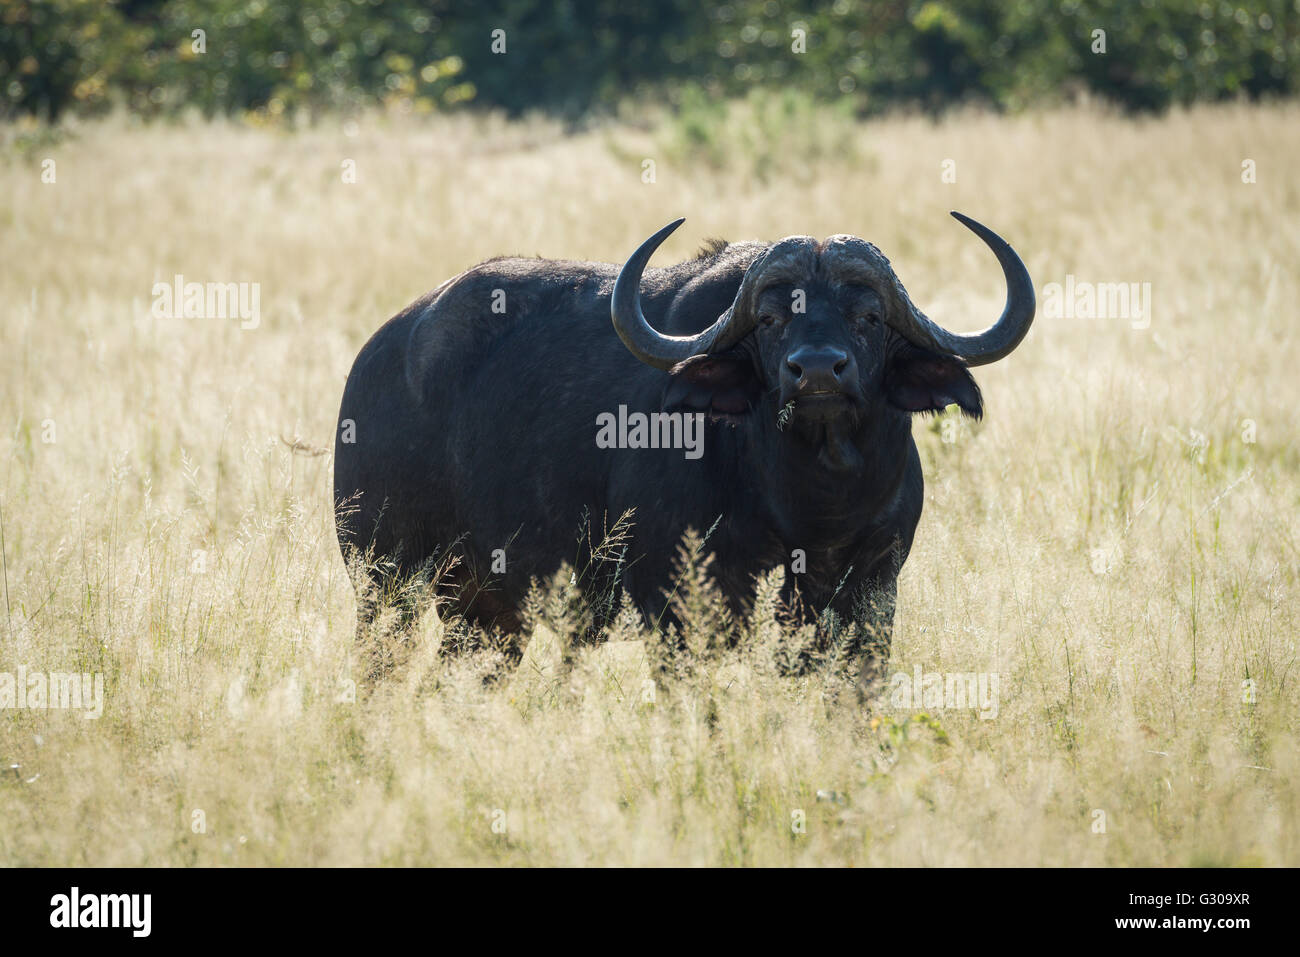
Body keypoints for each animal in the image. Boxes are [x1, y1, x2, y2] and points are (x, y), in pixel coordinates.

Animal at [334, 212, 1035, 686]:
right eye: (772, 319)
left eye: (867, 317)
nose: (817, 372)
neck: (809, 500)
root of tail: (378, 356)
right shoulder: (673, 607)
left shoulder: (874, 592)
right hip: (383, 581)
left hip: (484, 609)